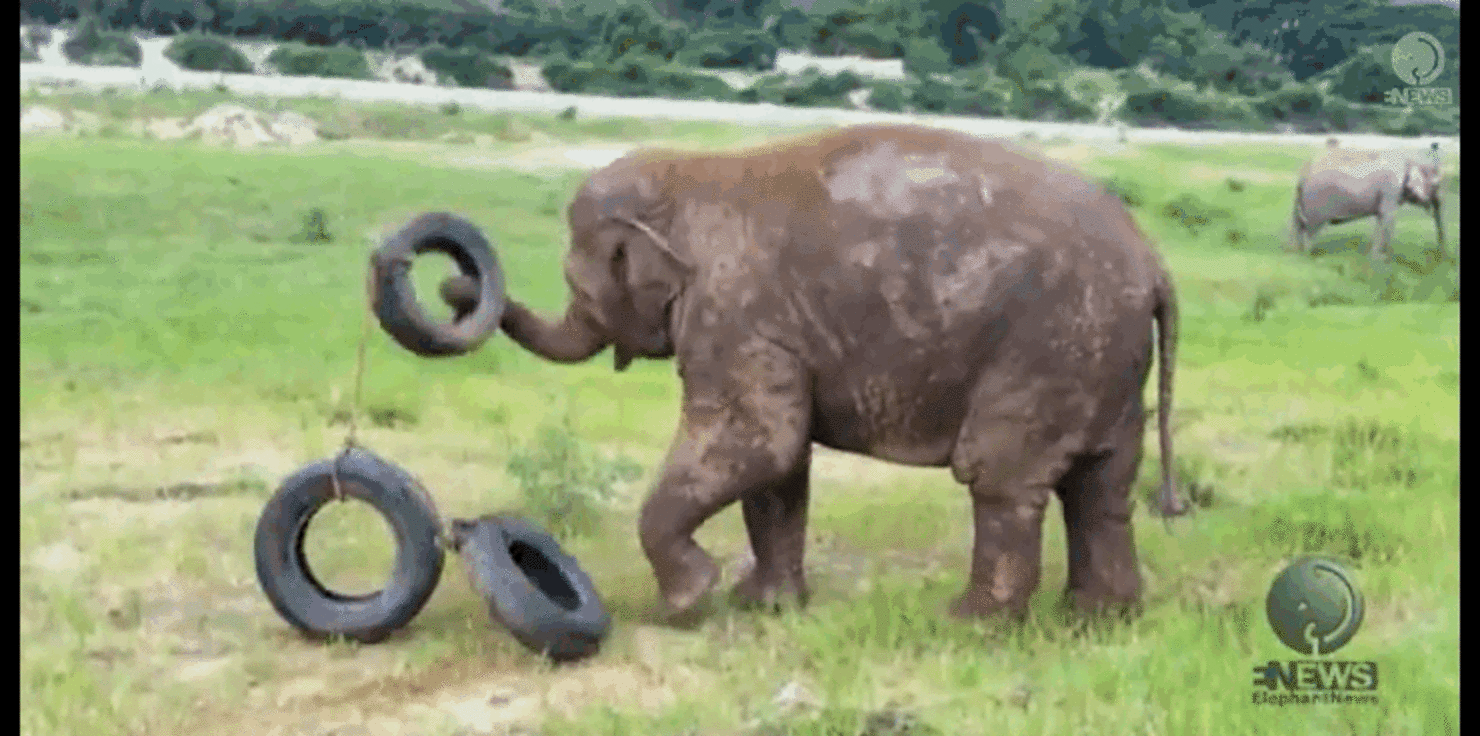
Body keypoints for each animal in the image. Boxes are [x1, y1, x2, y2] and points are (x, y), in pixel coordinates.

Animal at [432, 124, 1189, 623]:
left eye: (576, 282)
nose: (455, 287)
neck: (692, 173)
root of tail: (1155, 262)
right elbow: (778, 468)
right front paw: (765, 608)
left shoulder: (735, 314)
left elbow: (758, 441)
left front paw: (692, 601)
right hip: (1103, 356)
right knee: (1101, 483)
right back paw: (1097, 620)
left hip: (1051, 345)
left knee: (1000, 475)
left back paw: (971, 624)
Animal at [1289, 141, 1448, 263]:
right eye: (1435, 186)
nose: (1442, 257)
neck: (1411, 160)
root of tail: (1302, 174)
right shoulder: (1391, 189)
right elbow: (1388, 217)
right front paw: (1383, 260)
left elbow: (1381, 218)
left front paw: (1375, 257)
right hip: (1315, 202)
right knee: (1310, 229)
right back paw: (1308, 256)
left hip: (1300, 201)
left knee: (1298, 224)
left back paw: (1295, 252)